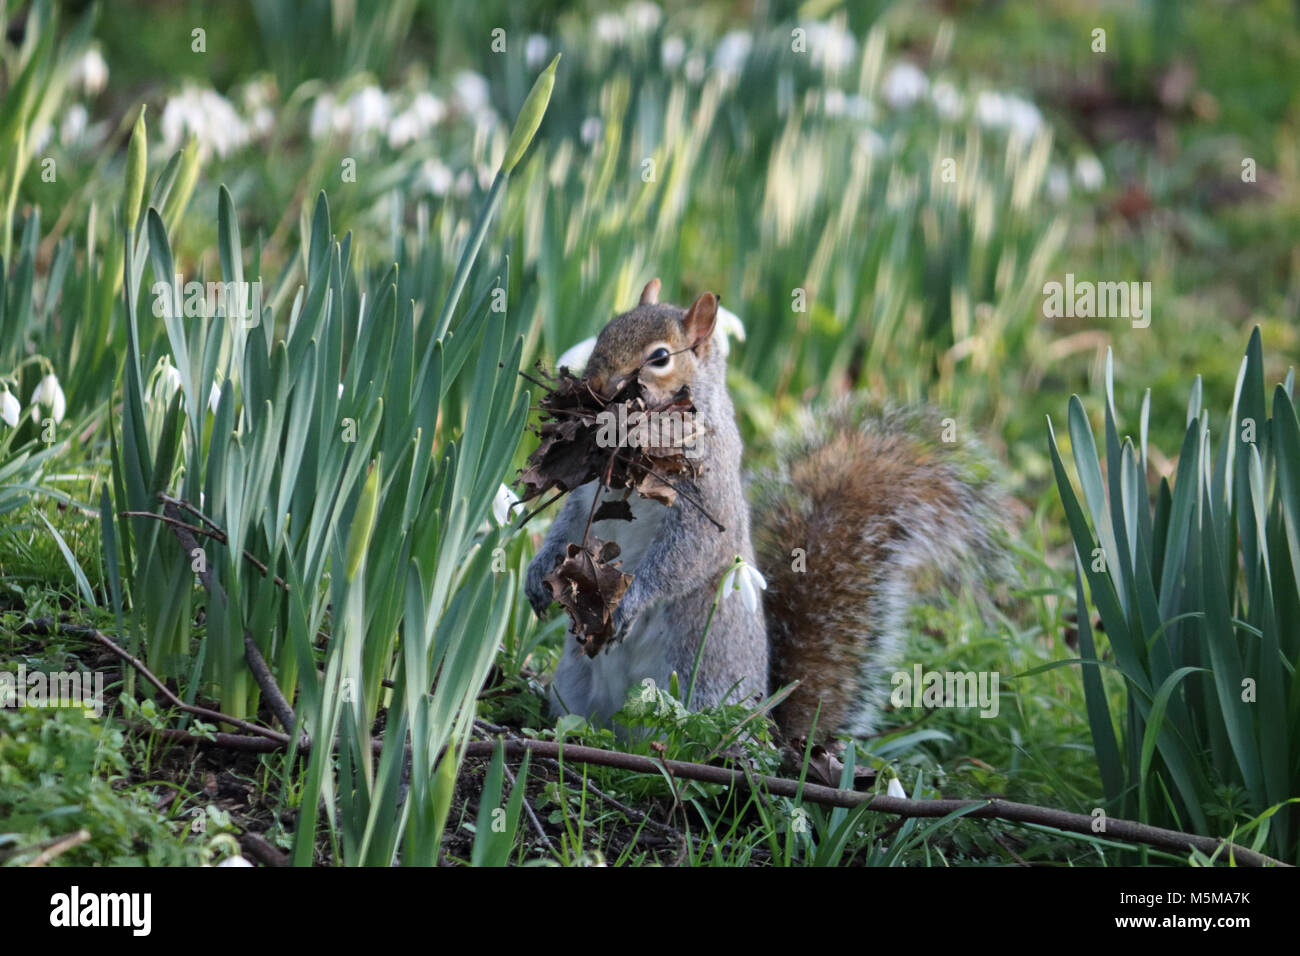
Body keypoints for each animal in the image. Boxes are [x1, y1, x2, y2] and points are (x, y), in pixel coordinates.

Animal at [524, 279, 1006, 742]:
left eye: (659, 357)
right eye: (607, 328)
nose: (596, 385)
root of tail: (767, 724)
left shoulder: (706, 497)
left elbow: (686, 555)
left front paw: (630, 601)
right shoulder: (590, 495)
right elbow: (567, 529)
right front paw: (538, 574)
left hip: (695, 680)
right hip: (574, 682)